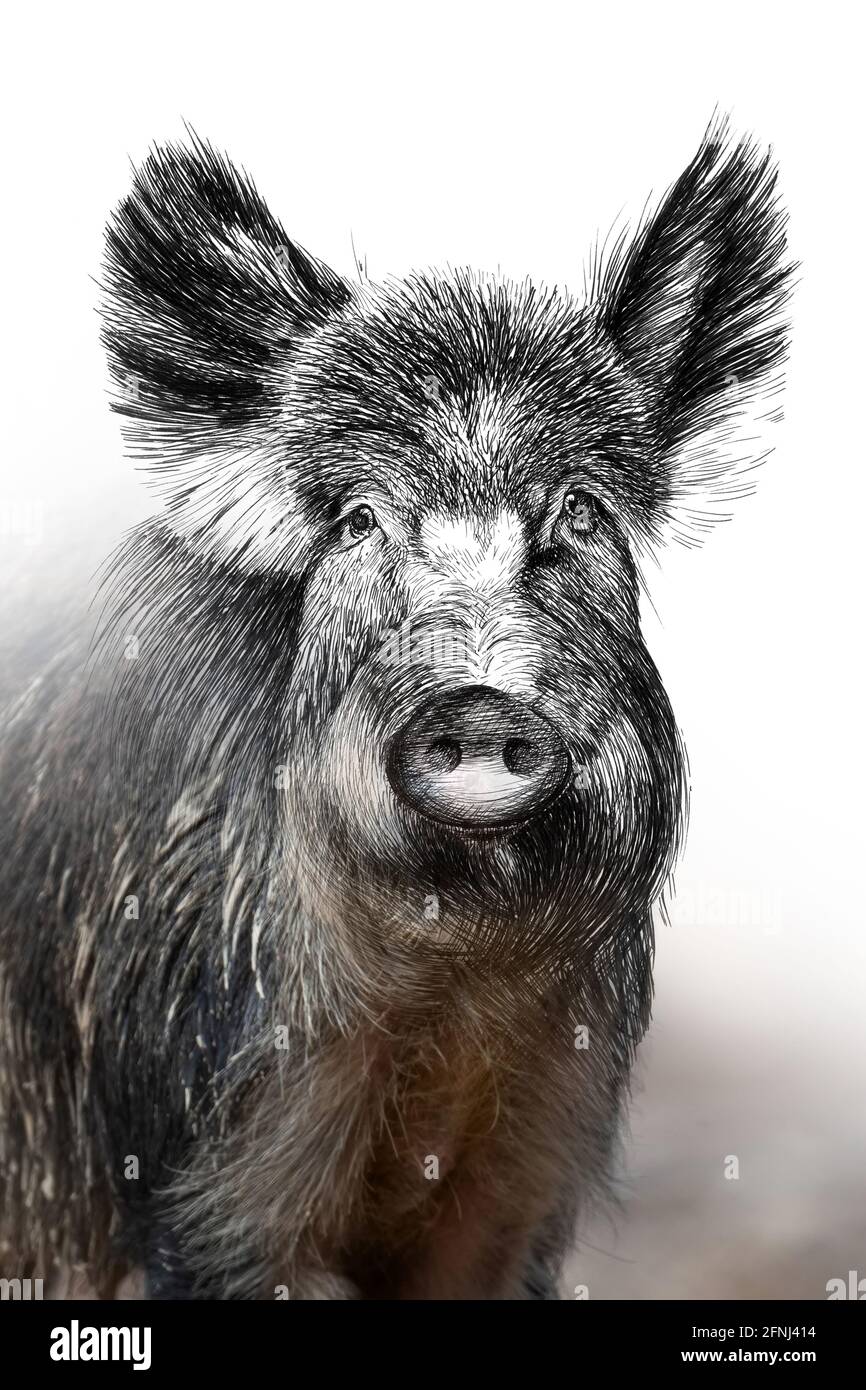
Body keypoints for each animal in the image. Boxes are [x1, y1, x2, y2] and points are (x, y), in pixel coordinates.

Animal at [0, 120, 790, 1298]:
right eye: (359, 518)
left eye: (582, 511)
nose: (477, 697)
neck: (451, 978)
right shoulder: (205, 1150)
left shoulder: (538, 1155)